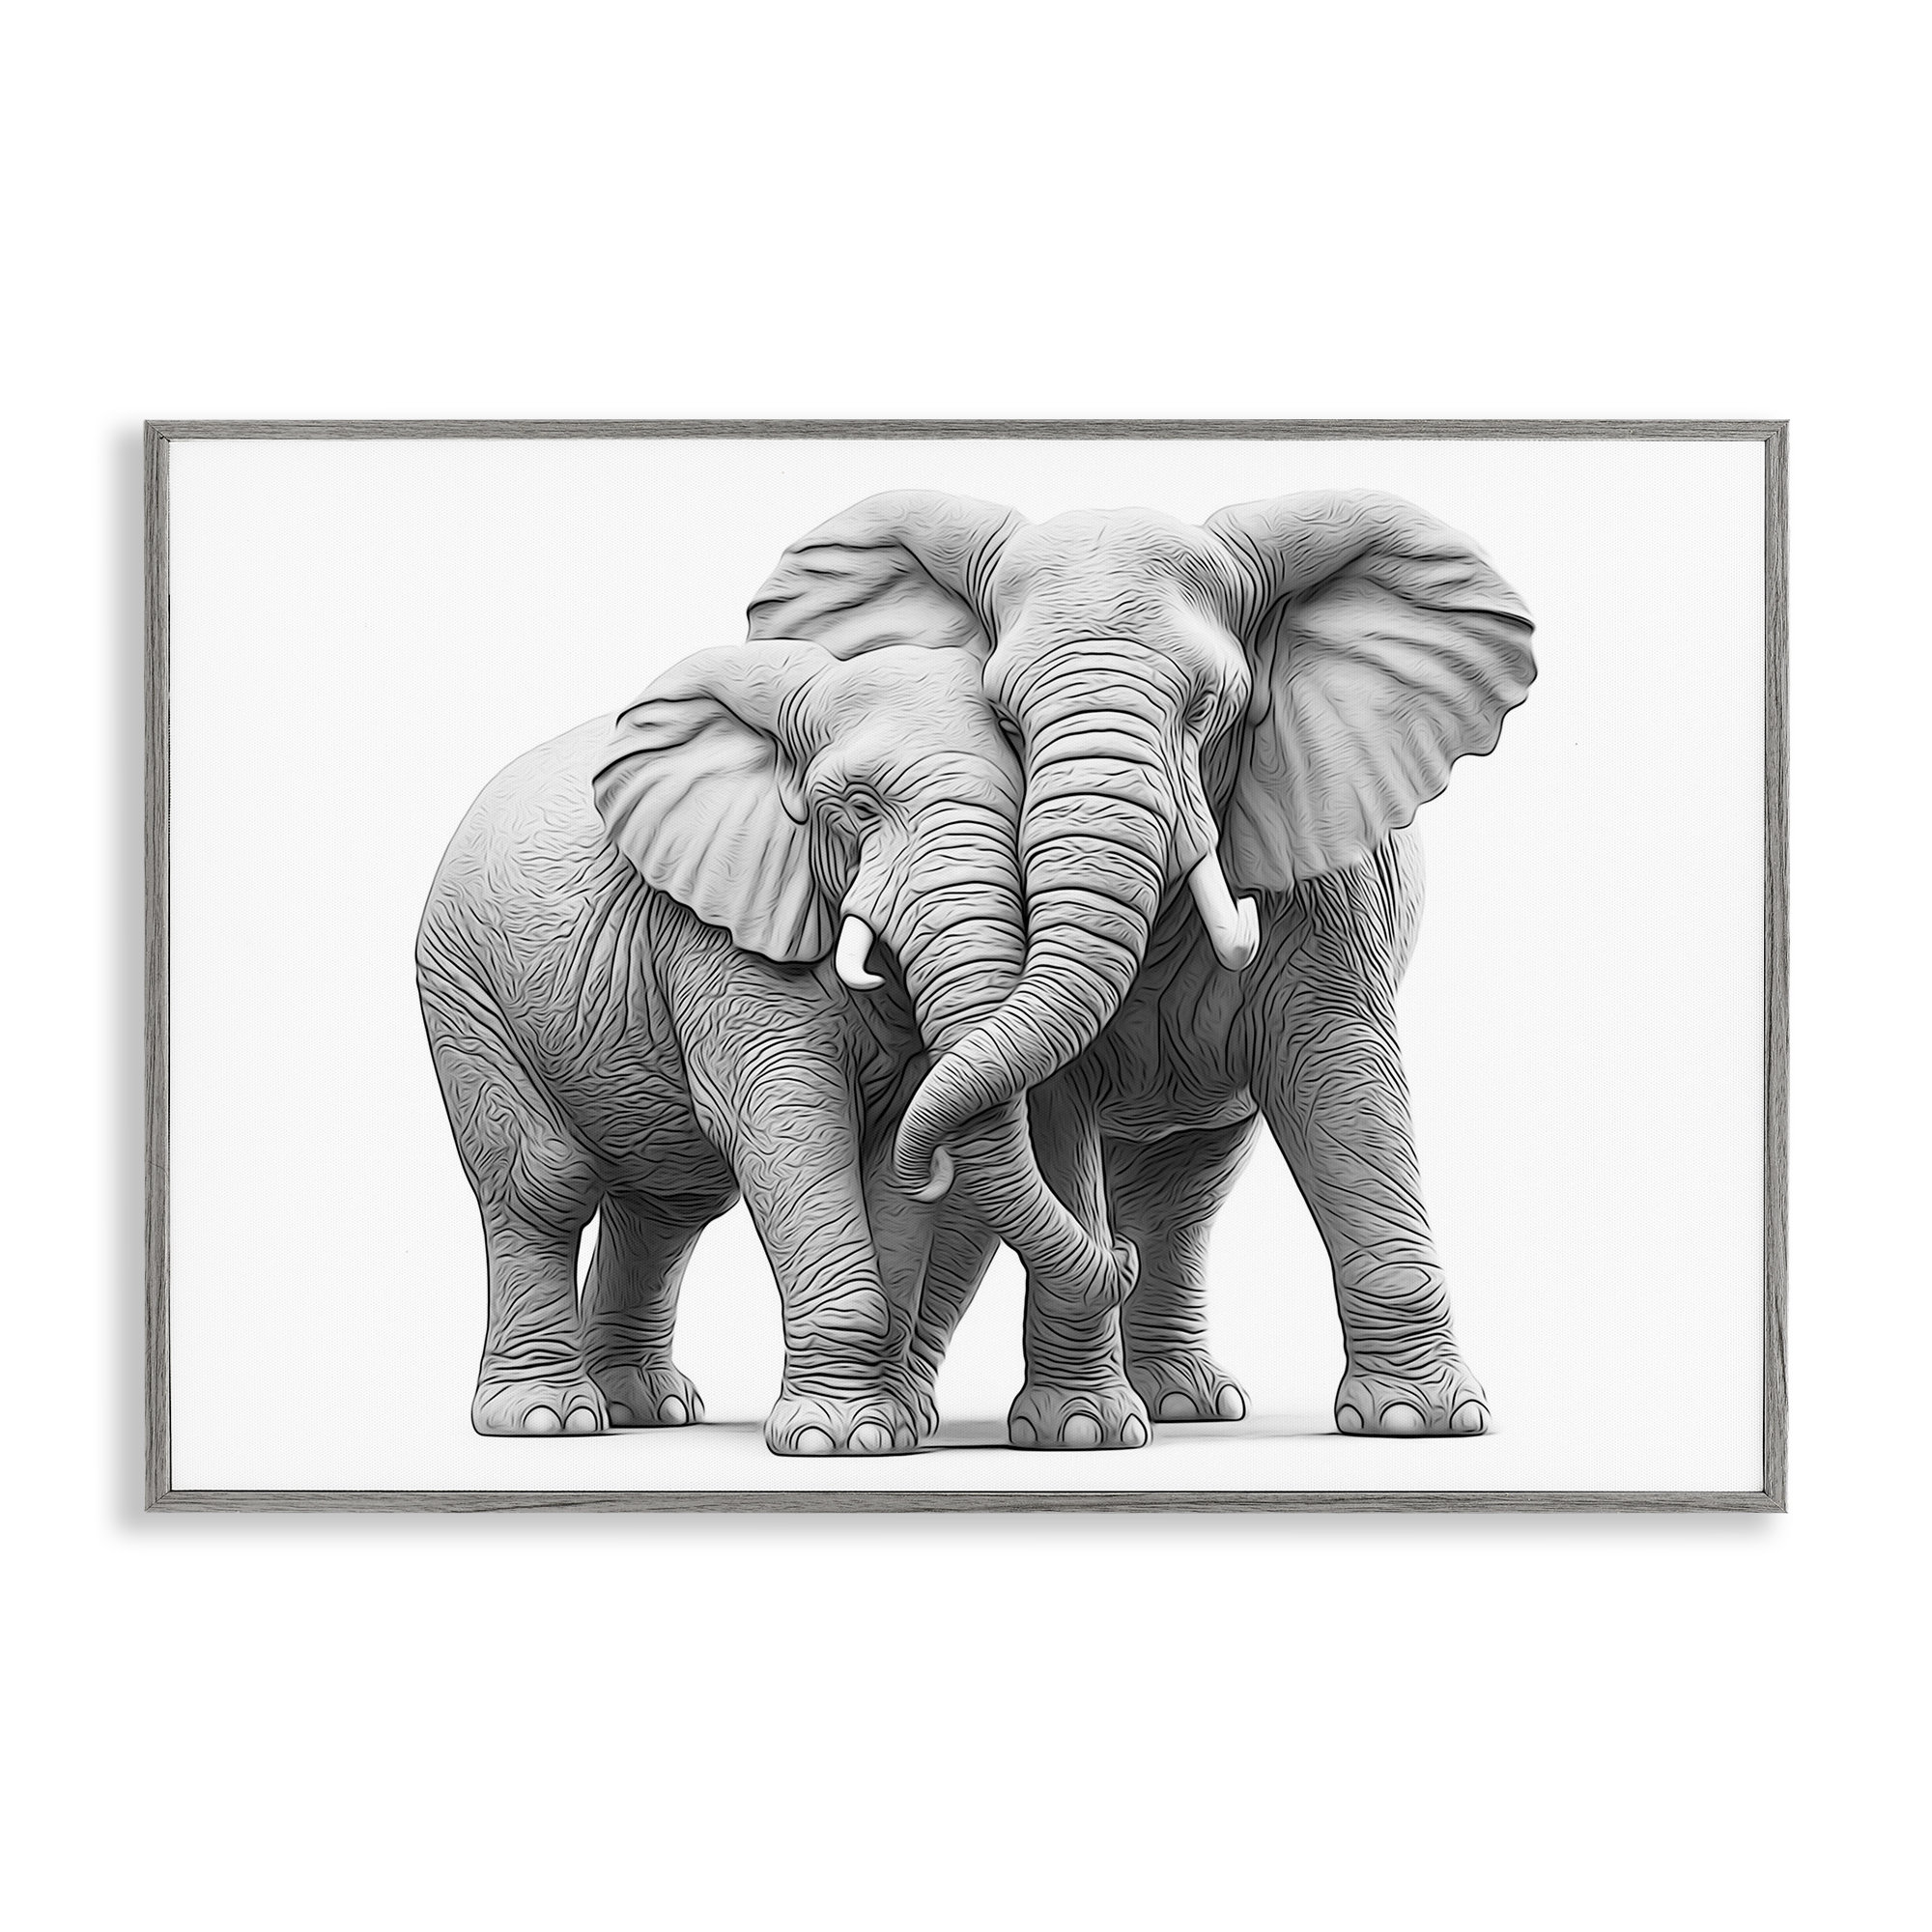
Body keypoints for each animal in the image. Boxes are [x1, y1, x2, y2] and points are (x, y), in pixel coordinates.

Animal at [415, 639, 1136, 1453]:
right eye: (857, 808)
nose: (1126, 1252)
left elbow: (890, 1154)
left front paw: (885, 1433)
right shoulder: (719, 929)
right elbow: (788, 1122)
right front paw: (838, 1440)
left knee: (668, 1206)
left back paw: (648, 1409)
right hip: (464, 985)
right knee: (541, 1184)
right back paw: (547, 1420)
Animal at [744, 488, 1536, 1444]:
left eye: (1208, 707)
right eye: (1003, 720)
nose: (1108, 1258)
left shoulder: (1330, 873)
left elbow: (1345, 1090)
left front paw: (1423, 1423)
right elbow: (1053, 1108)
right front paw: (1079, 1432)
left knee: (1185, 1194)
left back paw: (1188, 1404)